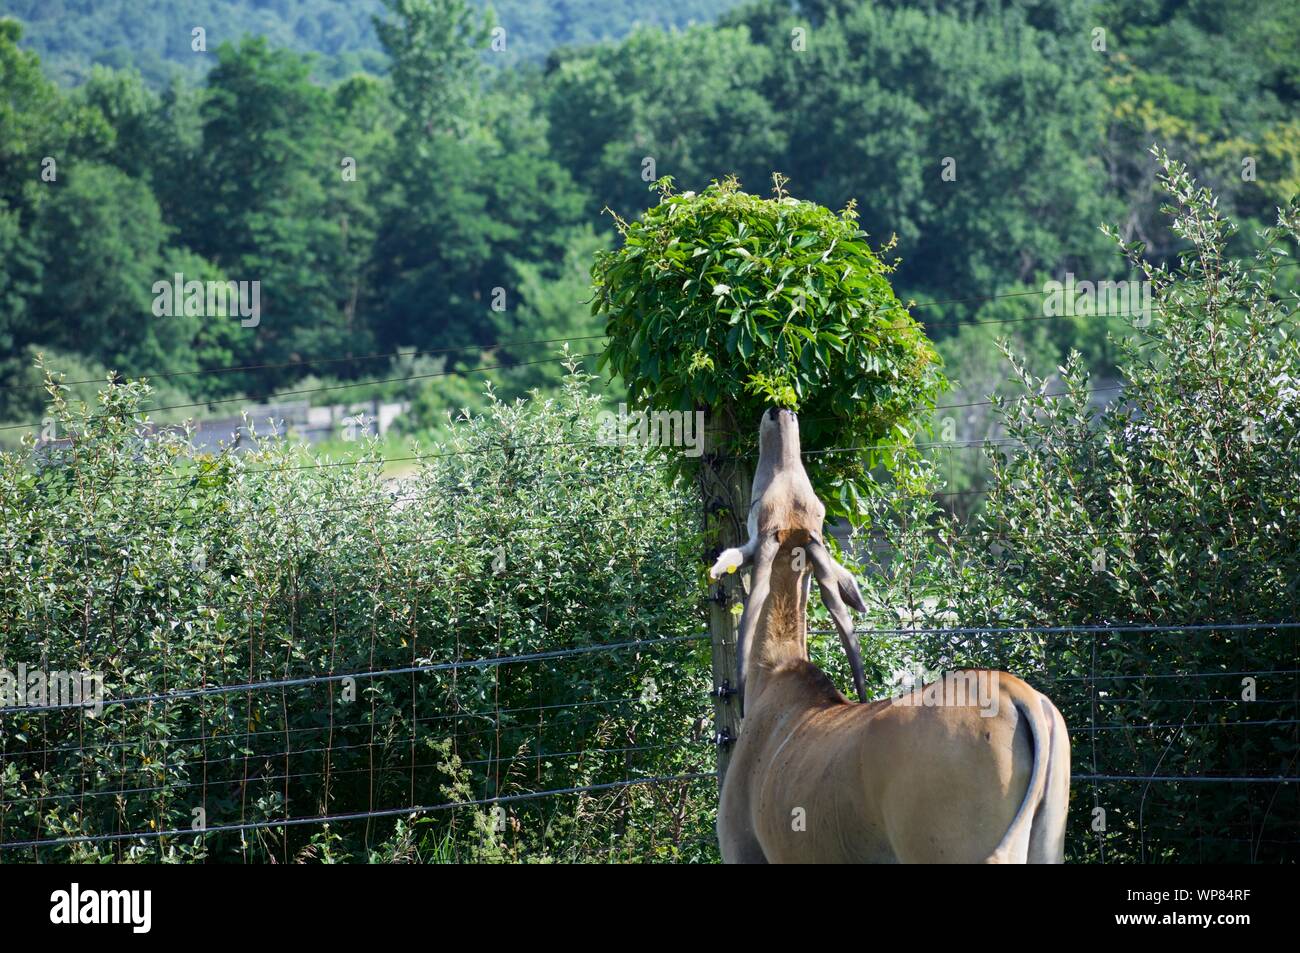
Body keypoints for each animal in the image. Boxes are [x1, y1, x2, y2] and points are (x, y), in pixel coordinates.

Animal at [713, 408, 1070, 863]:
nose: (782, 413)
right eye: (815, 504)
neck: (773, 676)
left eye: (756, 505)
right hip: (1046, 845)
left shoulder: (743, 853)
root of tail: (1016, 695)